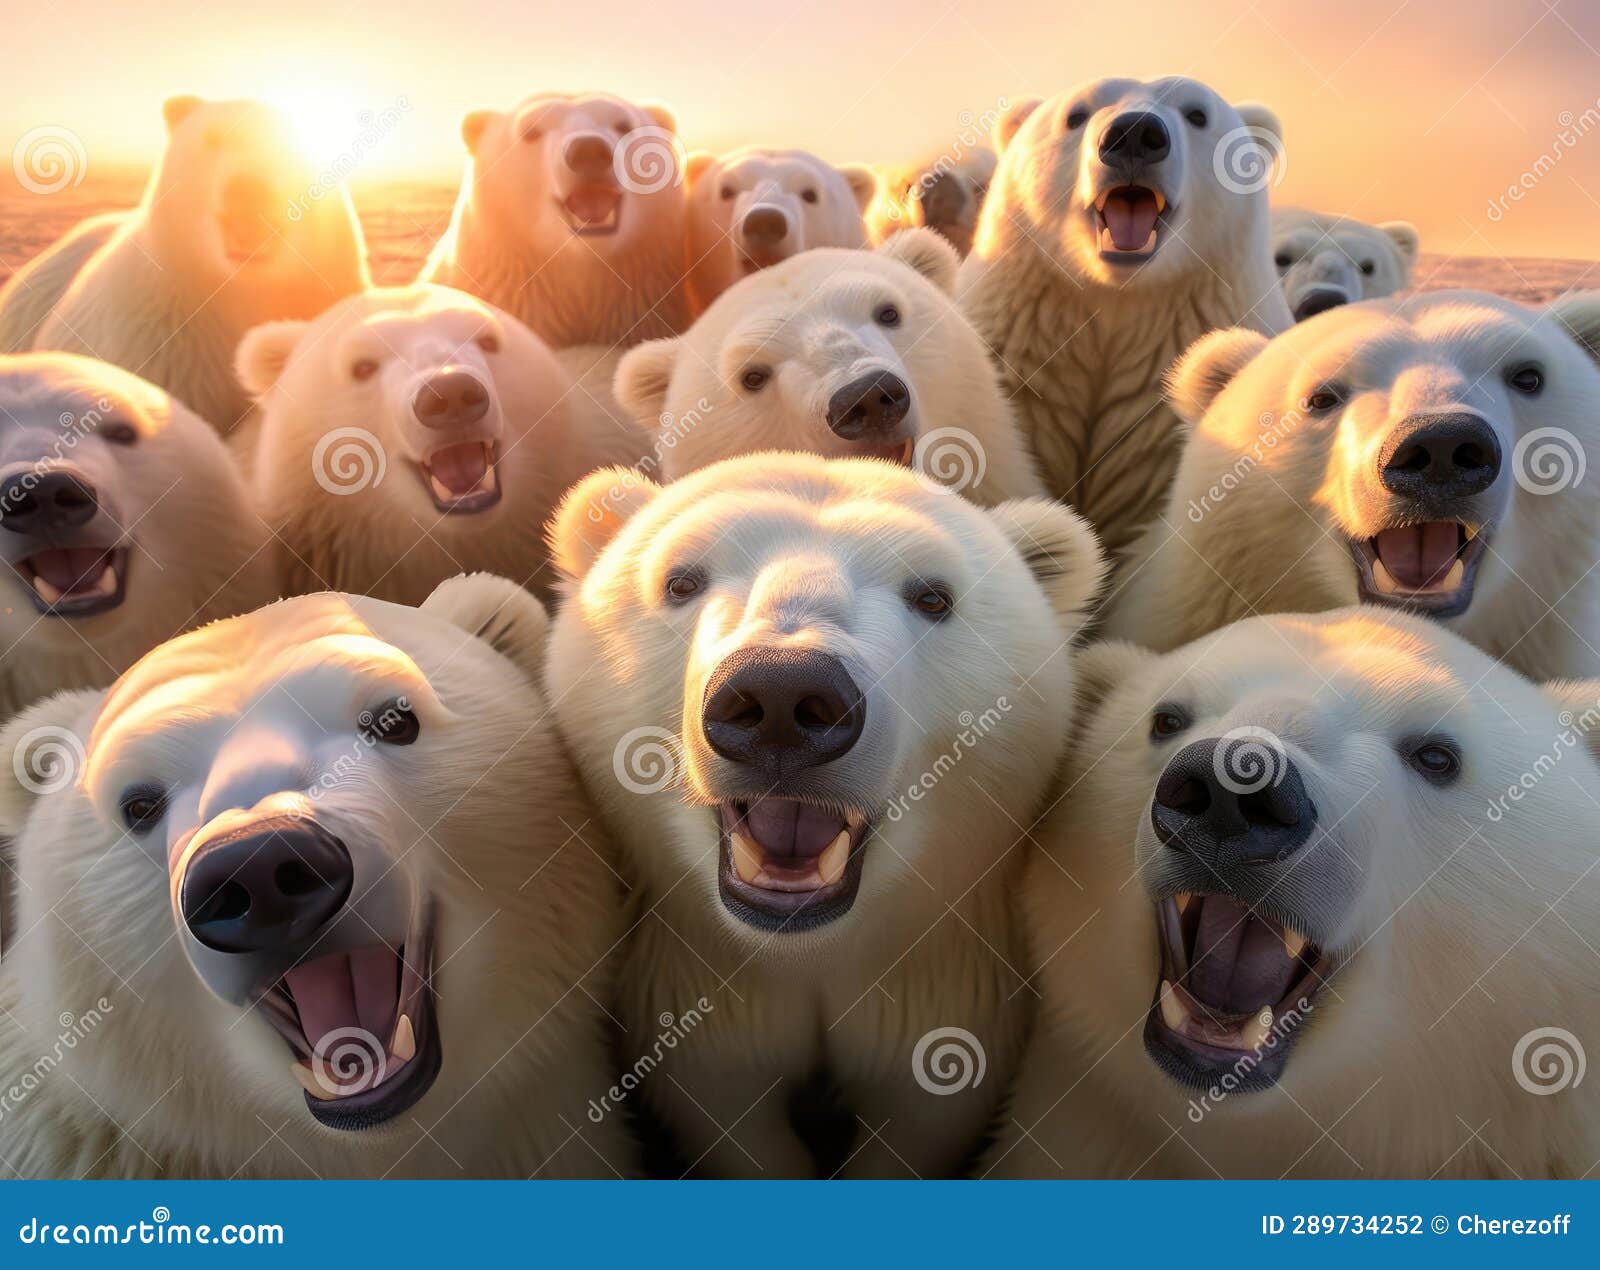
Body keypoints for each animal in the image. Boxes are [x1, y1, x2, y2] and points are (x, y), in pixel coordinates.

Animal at [545, 452, 1105, 1178]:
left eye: (933, 597)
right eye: (681, 580)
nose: (783, 695)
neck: (806, 949)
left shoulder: (939, 981)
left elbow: (925, 1107)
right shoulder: (697, 980)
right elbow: (725, 1102)